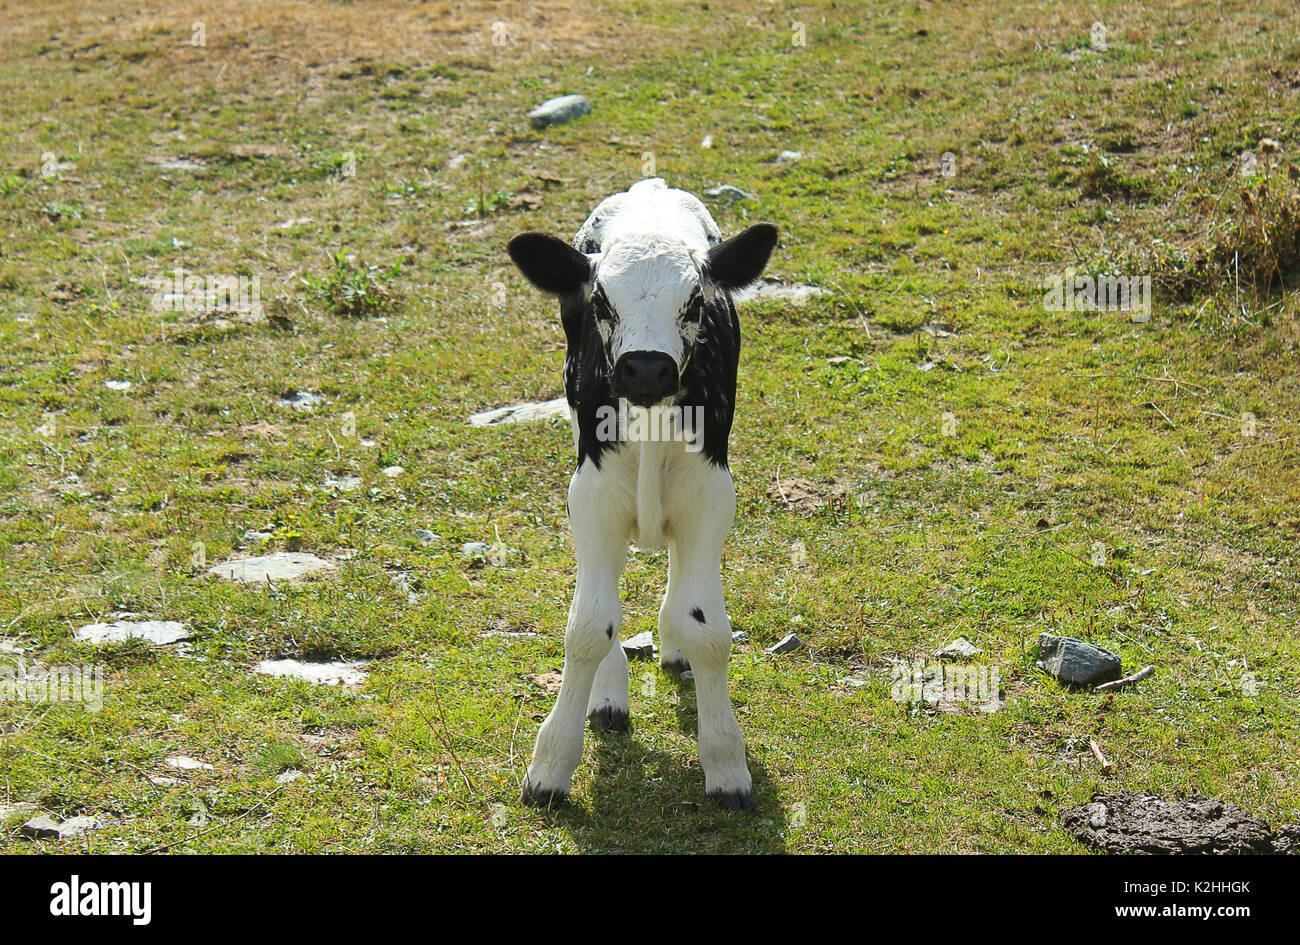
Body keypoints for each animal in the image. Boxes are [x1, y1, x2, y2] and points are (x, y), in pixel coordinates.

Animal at [507, 178, 777, 813]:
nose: (648, 370)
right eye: (602, 304)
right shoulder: (592, 494)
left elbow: (709, 630)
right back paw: (607, 698)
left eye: (695, 302)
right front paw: (550, 766)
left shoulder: (711, 491)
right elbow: (588, 626)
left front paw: (726, 763)